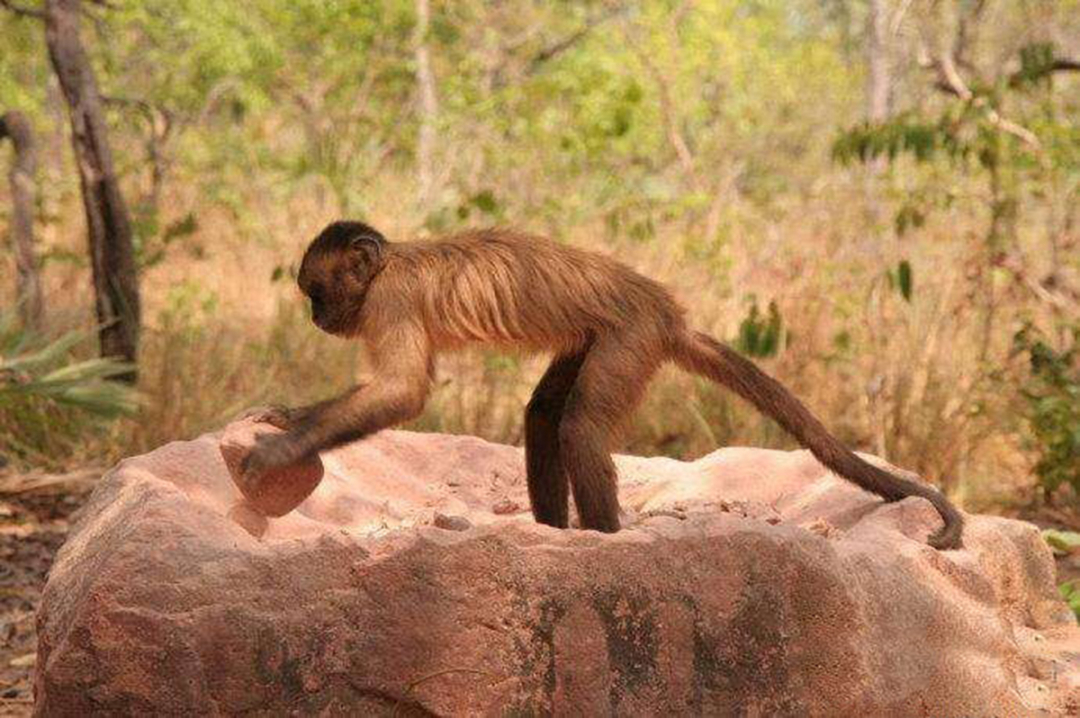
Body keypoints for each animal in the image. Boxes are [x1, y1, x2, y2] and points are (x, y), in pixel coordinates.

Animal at [241, 220, 963, 550]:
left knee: (580, 424)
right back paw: (555, 533)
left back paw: (603, 541)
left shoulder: (390, 300)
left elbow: (402, 393)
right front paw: (287, 419)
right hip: (597, 335)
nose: (316, 317)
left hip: (630, 336)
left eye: (316, 292)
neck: (391, 264)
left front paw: (282, 449)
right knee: (543, 415)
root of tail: (666, 311)